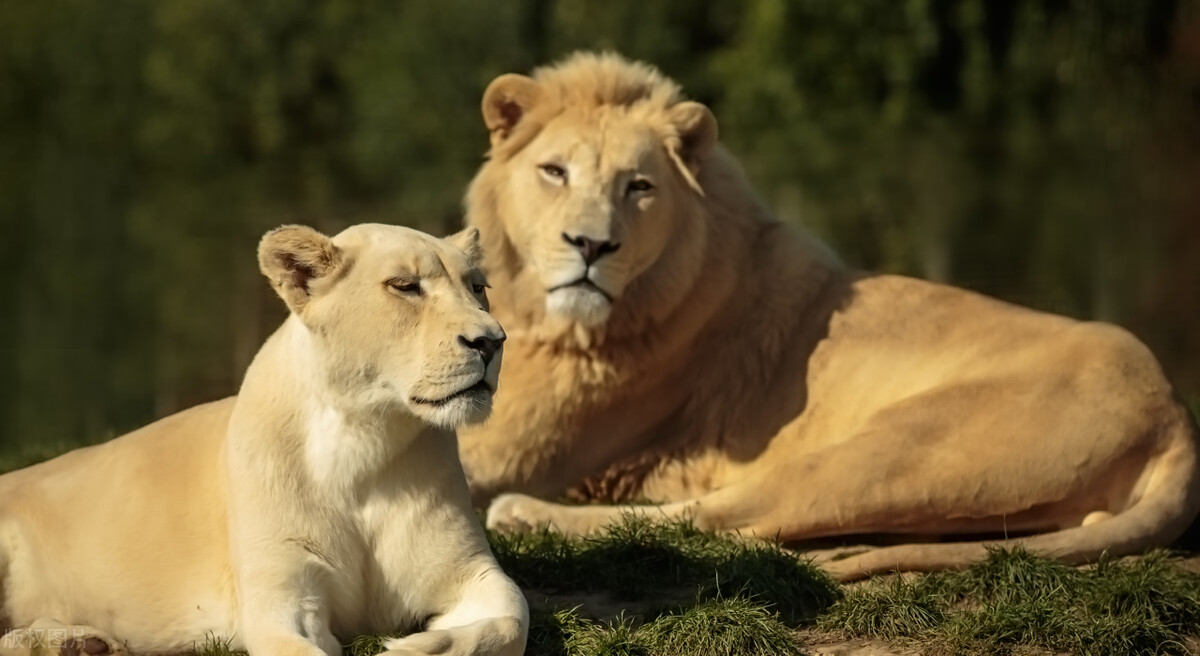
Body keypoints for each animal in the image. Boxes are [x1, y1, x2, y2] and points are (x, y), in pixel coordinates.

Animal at [0, 224, 527, 656]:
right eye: (405, 286)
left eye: (477, 287)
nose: (492, 341)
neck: (363, 439)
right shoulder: (281, 594)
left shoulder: (468, 570)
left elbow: (511, 618)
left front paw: (416, 648)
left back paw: (82, 643)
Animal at [457, 52, 1200, 581]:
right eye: (554, 172)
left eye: (639, 186)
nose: (590, 246)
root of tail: (1175, 411)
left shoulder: (519, 447)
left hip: (893, 450)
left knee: (718, 517)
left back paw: (526, 517)